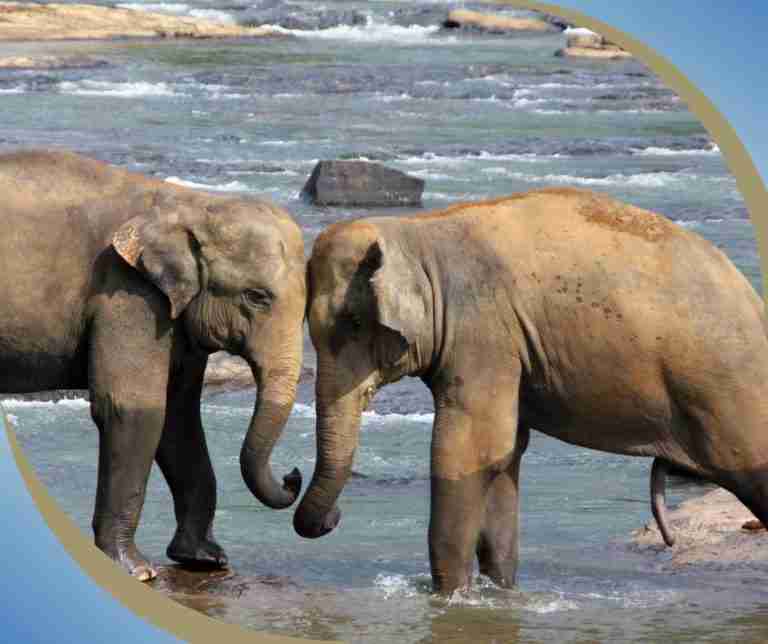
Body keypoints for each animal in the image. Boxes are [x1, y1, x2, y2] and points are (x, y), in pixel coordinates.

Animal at [0, 149, 306, 581]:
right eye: (256, 296)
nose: (293, 475)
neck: (192, 204)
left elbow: (179, 416)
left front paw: (205, 559)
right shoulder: (126, 292)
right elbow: (135, 408)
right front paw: (137, 571)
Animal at [293, 186, 768, 594]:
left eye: (354, 322)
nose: (333, 516)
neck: (416, 232)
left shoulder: (483, 332)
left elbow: (467, 451)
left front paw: (449, 597)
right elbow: (505, 456)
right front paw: (500, 592)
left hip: (730, 390)